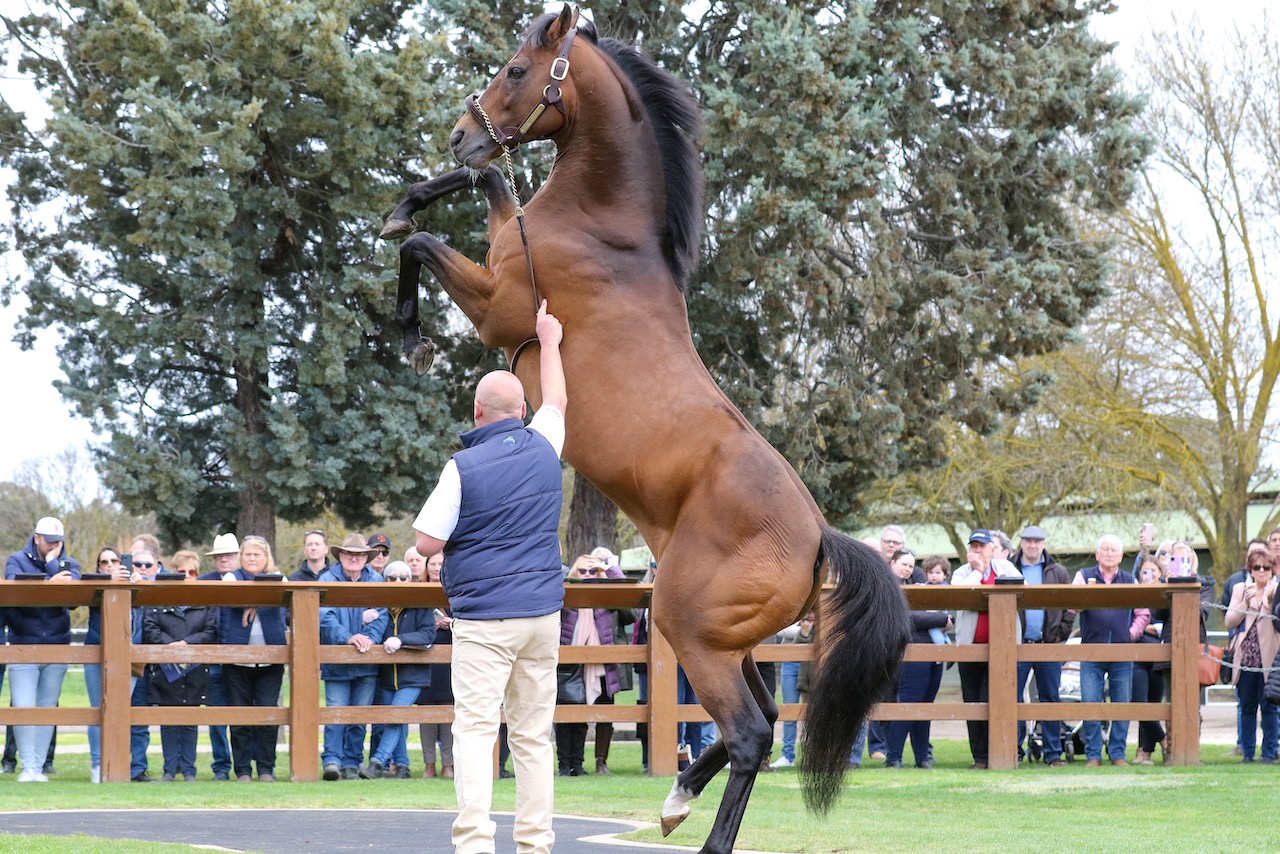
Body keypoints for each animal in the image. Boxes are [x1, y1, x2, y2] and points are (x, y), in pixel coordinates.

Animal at [383, 7, 910, 853]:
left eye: (517, 72)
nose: (462, 133)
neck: (603, 233)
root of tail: (820, 541)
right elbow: (489, 186)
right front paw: (416, 195)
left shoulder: (498, 305)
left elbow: (420, 246)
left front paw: (407, 326)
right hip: (731, 641)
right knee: (763, 718)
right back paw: (675, 798)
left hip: (689, 631)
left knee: (752, 733)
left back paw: (698, 827)